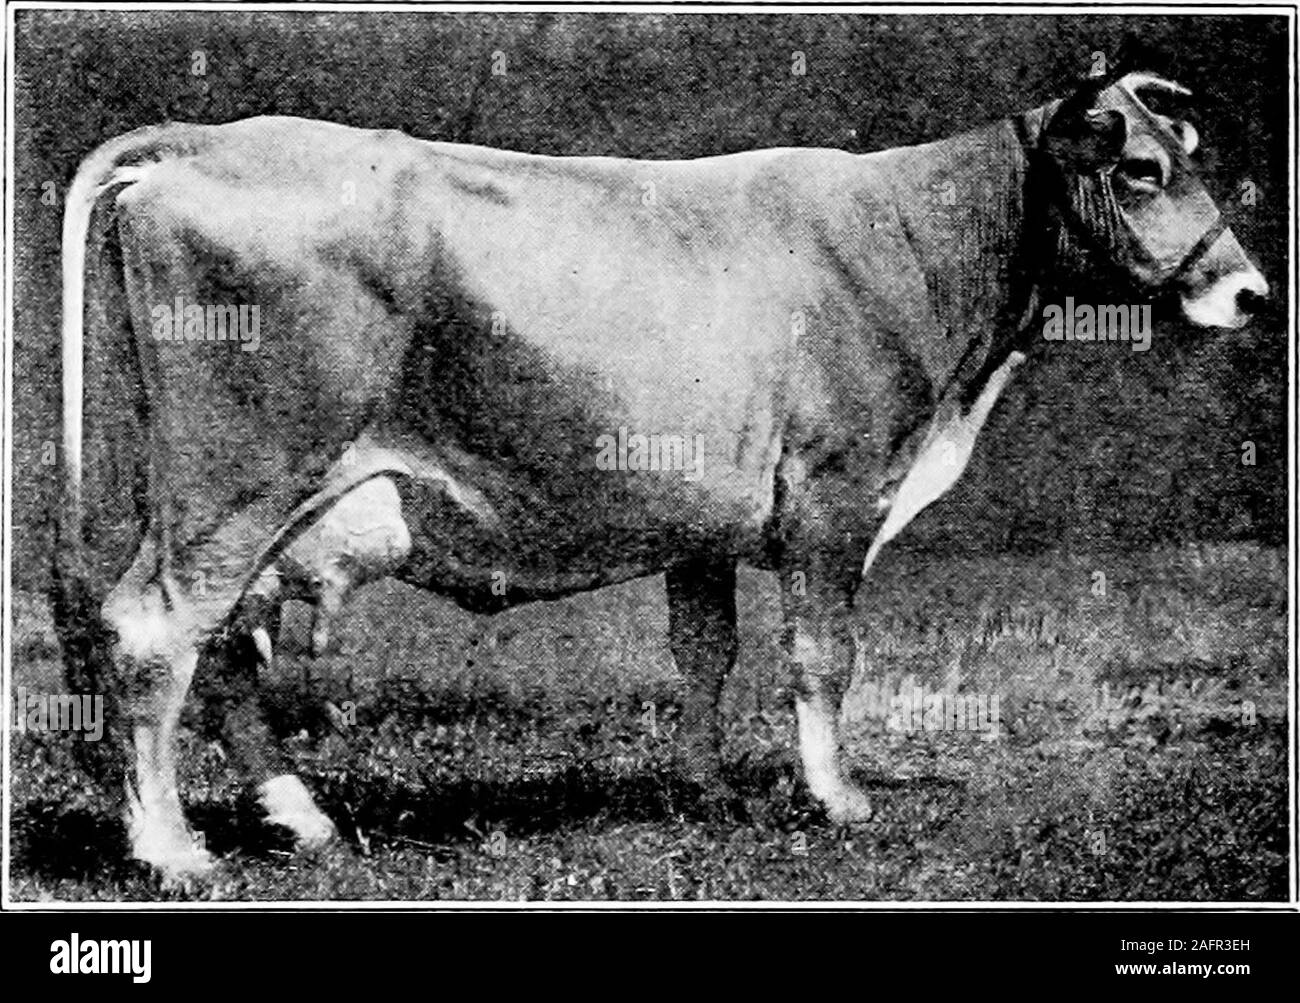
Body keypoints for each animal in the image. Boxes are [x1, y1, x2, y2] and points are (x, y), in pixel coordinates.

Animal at [53, 68, 1268, 879]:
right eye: (1141, 168)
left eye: (1191, 158)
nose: (1248, 289)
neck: (925, 248)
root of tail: (202, 141)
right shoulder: (834, 497)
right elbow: (820, 656)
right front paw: (837, 798)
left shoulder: (706, 523)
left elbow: (705, 653)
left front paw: (709, 789)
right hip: (235, 479)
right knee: (156, 631)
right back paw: (173, 849)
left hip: (237, 502)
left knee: (226, 648)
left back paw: (297, 820)